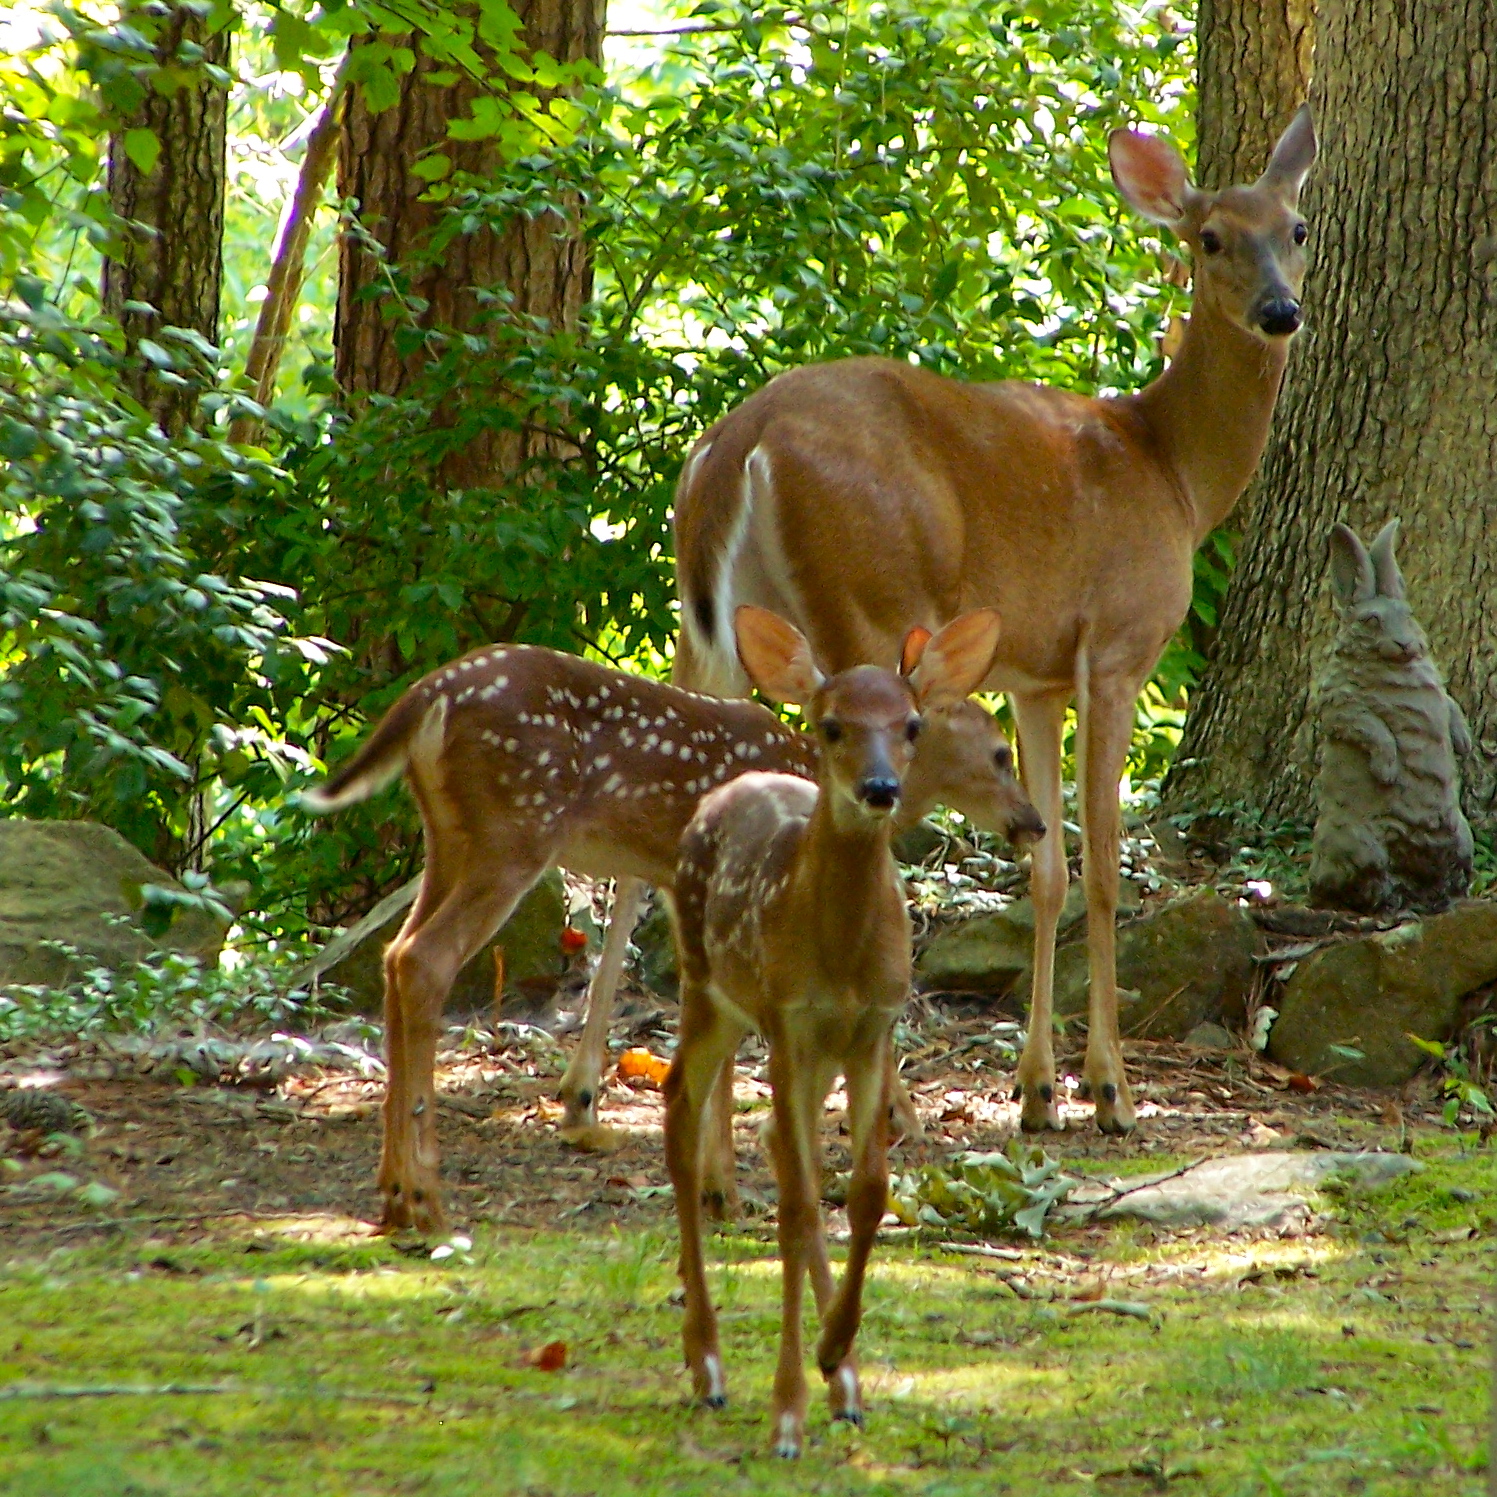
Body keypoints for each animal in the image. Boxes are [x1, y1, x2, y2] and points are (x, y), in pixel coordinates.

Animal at [301, 640, 1043, 1233]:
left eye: (911, 726)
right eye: (999, 753)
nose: (1031, 821)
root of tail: (428, 694)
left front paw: (718, 1188)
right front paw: (728, 1191)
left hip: (448, 837)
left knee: (393, 953)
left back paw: (393, 1191)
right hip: (513, 829)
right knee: (425, 959)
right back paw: (425, 1198)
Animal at [666, 604, 1003, 1457]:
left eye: (912, 723)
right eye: (829, 725)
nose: (879, 787)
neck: (843, 954)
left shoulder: (873, 1025)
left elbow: (865, 1190)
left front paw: (836, 1352)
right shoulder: (788, 1018)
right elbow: (793, 1206)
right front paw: (786, 1409)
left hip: (794, 1037)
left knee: (777, 1145)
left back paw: (839, 1380)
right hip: (706, 982)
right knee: (682, 1110)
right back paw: (708, 1364)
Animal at [669, 105, 1318, 1136]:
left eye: (1294, 229)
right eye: (1209, 237)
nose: (1278, 312)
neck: (1172, 472)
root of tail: (737, 444)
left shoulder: (1035, 676)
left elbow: (1047, 870)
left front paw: (1037, 1090)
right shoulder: (1117, 648)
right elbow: (1100, 869)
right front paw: (1110, 1090)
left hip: (710, 634)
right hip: (868, 603)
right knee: (860, 820)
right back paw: (886, 1106)